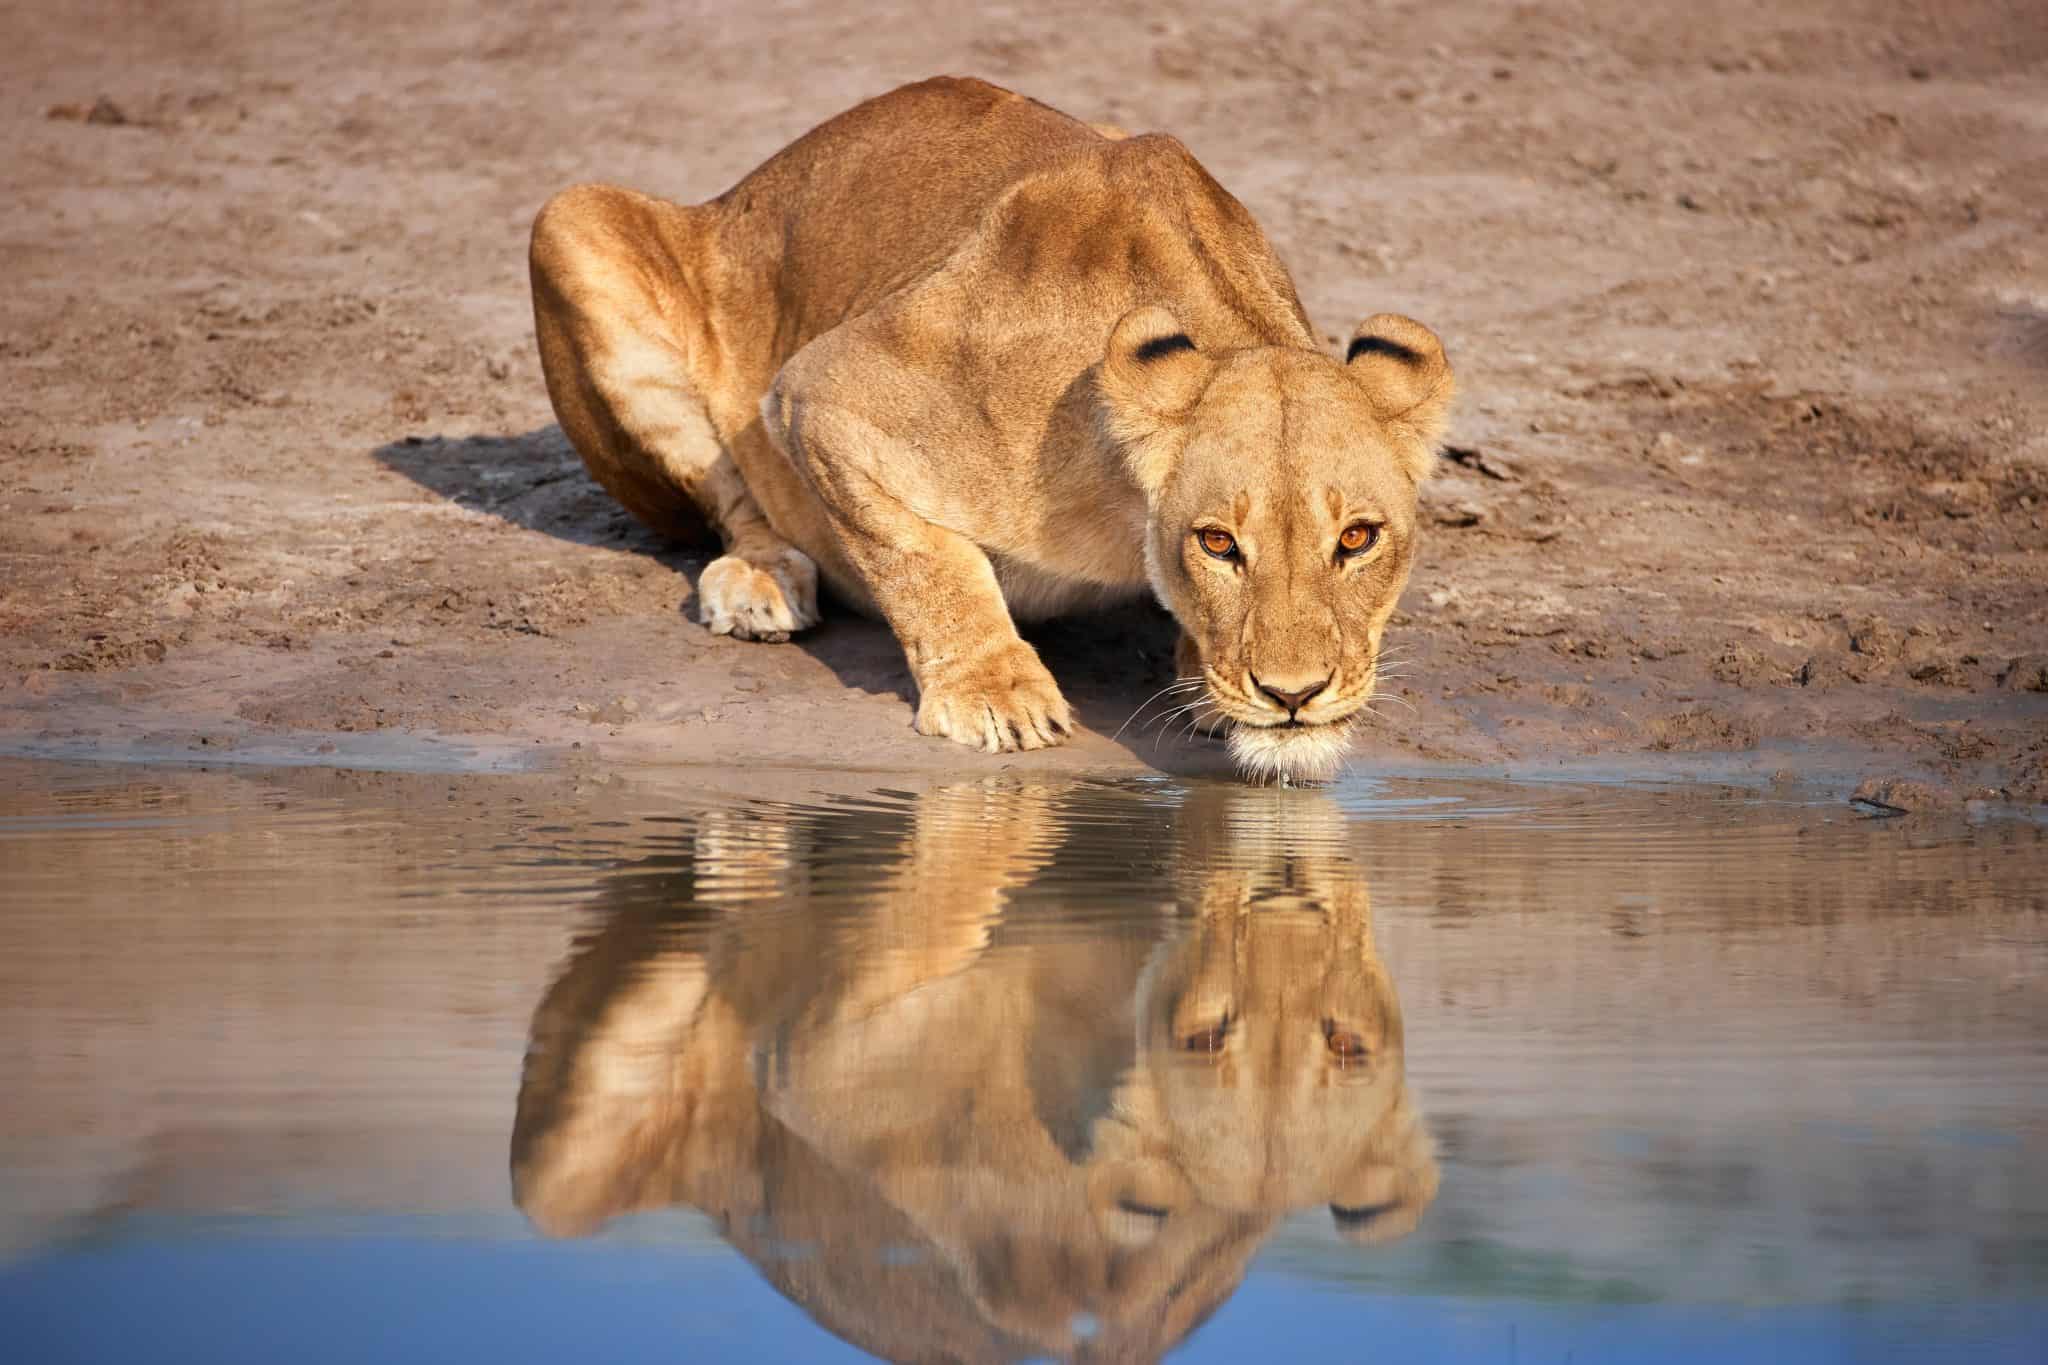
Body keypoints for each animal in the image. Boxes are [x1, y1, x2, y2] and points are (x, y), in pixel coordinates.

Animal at [530, 76, 1453, 783]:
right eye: (1218, 542)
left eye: (1359, 538)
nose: (1294, 696)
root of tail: (738, 190)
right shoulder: (823, 393)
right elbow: (926, 558)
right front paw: (995, 693)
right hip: (569, 218)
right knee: (731, 495)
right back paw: (760, 579)